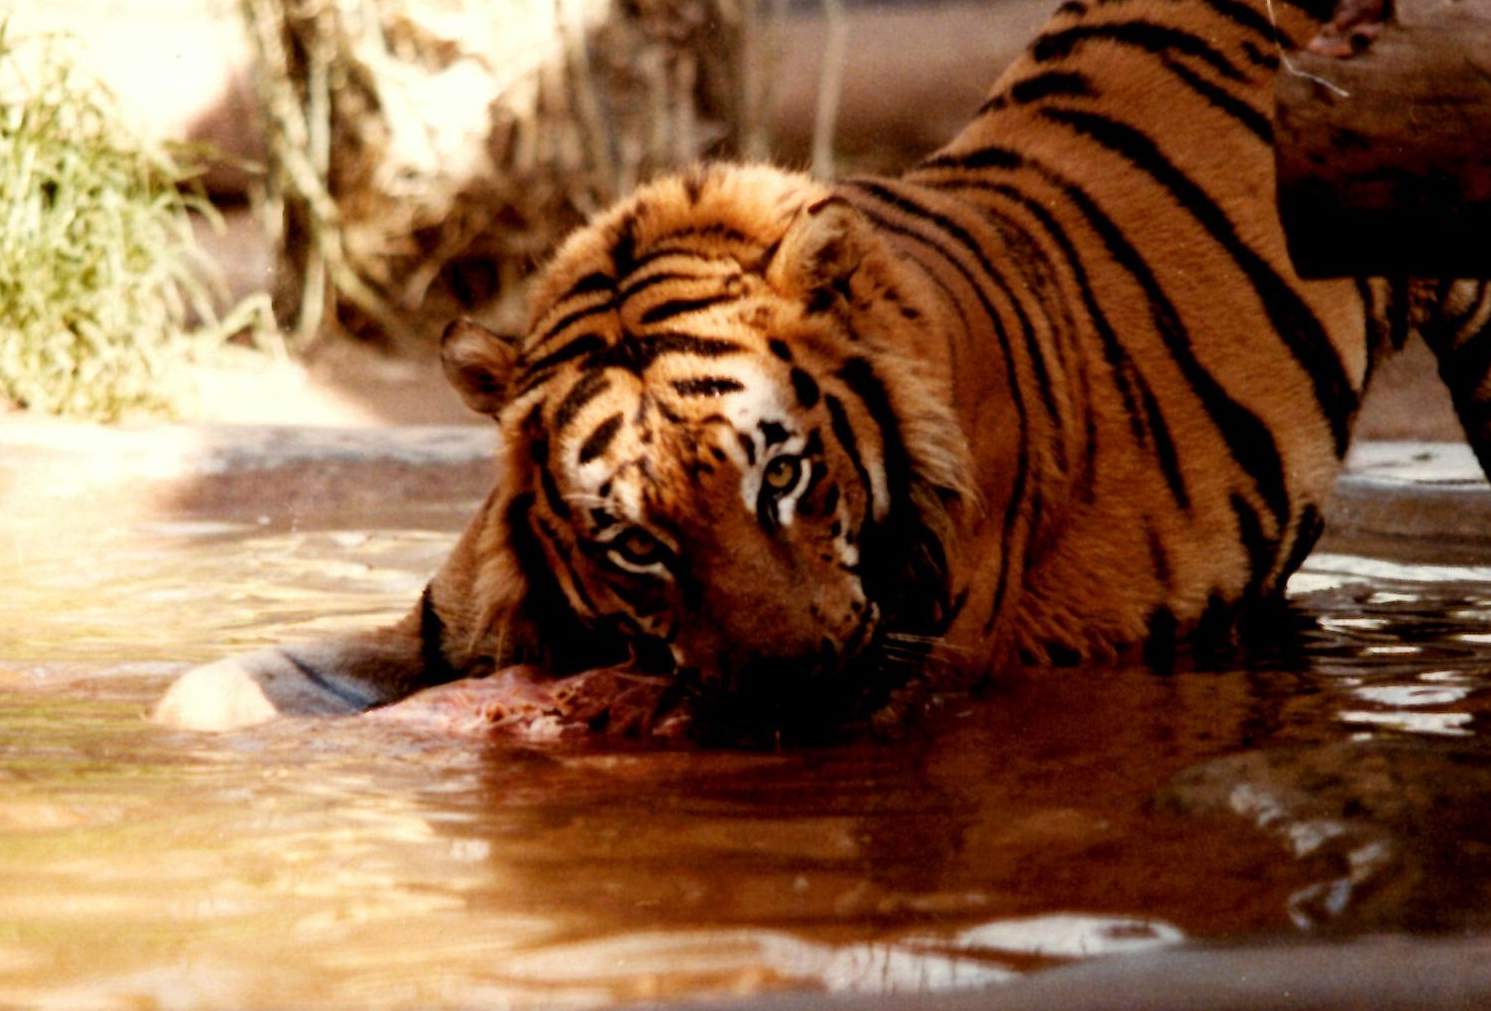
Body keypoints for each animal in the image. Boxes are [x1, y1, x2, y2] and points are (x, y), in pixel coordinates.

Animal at [154, 0, 1491, 733]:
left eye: (784, 477)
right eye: (632, 541)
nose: (793, 683)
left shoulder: (910, 667)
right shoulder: (447, 620)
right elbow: (237, 680)